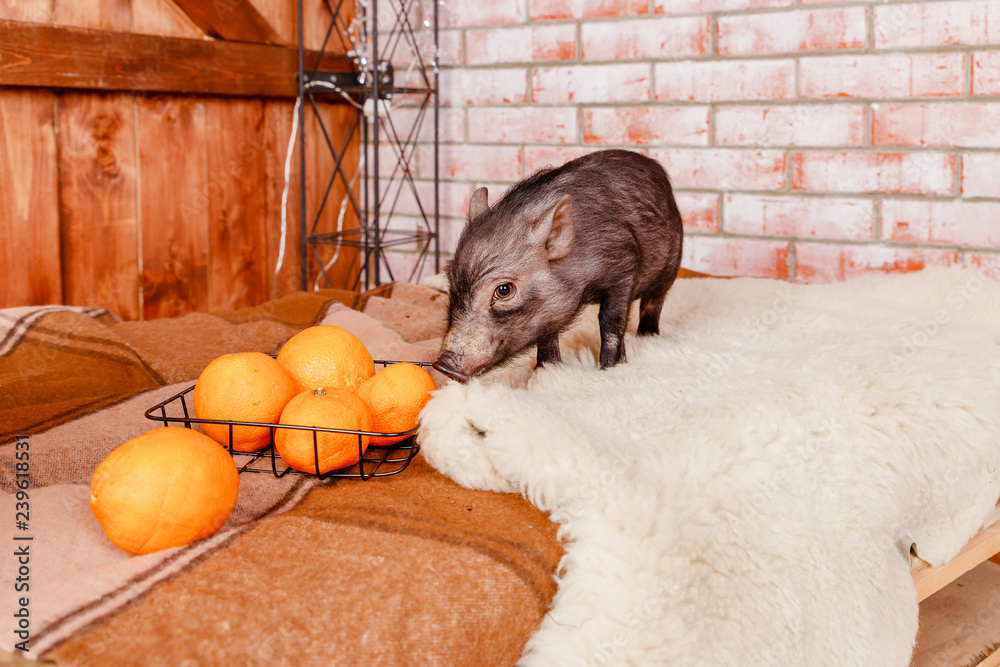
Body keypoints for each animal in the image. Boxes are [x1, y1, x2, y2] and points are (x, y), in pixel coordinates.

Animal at [432, 149, 684, 384]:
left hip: (670, 268)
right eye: (451, 280)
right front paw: (545, 369)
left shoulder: (624, 267)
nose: (443, 366)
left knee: (653, 302)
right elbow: (547, 333)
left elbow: (611, 322)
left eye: (503, 290)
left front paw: (609, 369)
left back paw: (647, 337)